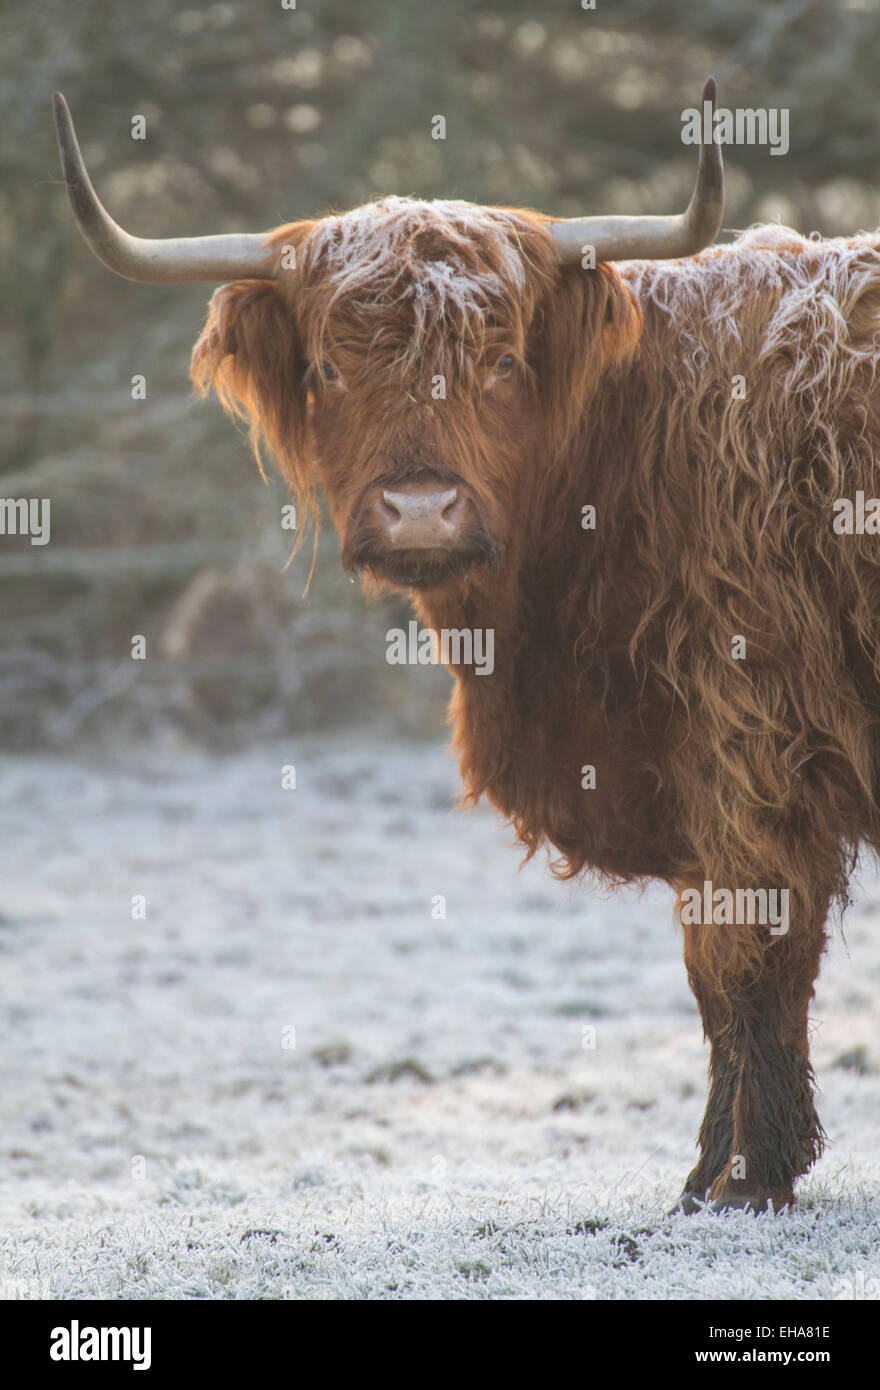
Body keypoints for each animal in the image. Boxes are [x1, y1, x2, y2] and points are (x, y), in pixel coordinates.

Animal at [53, 80, 880, 1214]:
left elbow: (741, 960)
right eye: (326, 366)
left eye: (498, 362)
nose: (418, 508)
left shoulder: (749, 745)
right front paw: (721, 1168)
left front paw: (745, 1177)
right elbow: (725, 980)